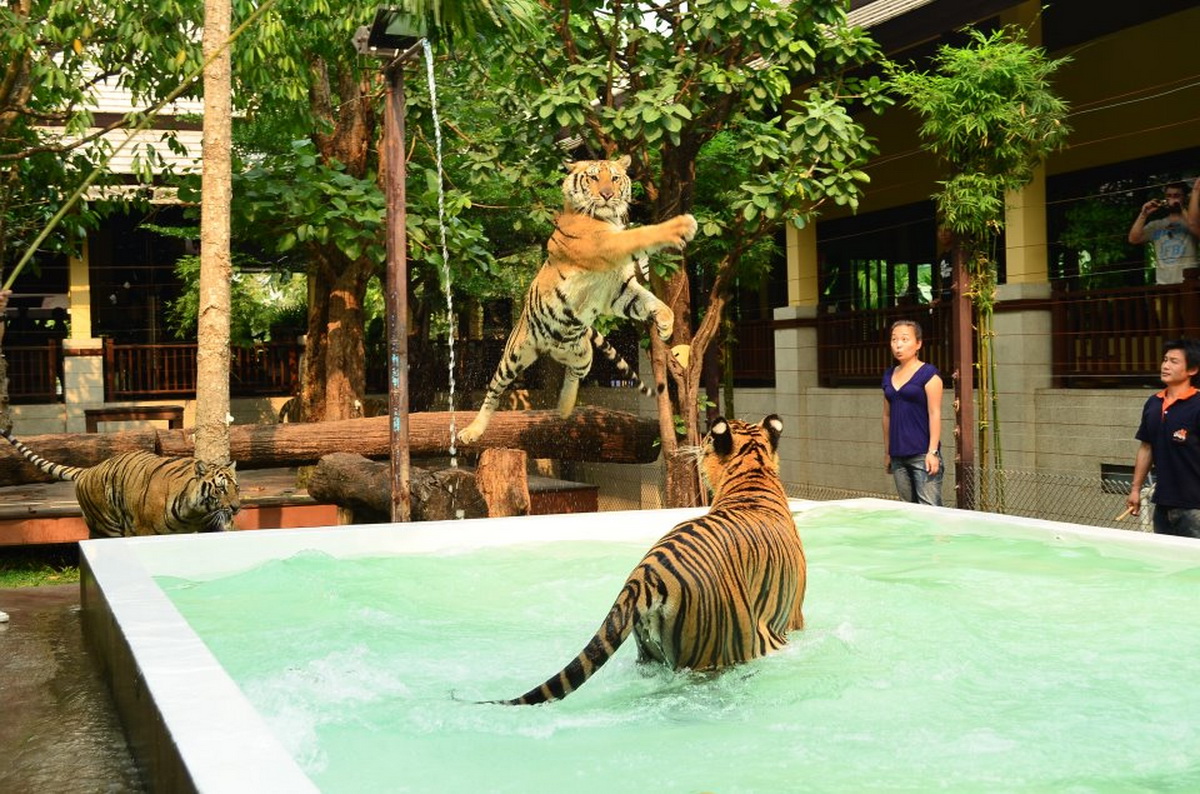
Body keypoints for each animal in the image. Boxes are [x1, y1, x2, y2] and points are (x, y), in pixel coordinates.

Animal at [0, 429, 241, 538]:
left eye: (236, 487)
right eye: (220, 489)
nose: (237, 508)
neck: (194, 513)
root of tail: (89, 470)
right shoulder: (146, 532)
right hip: (107, 526)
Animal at [457, 155, 698, 444]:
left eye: (615, 178)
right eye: (593, 177)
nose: (607, 195)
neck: (609, 217)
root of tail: (550, 348)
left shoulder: (618, 289)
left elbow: (650, 301)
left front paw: (665, 325)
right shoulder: (605, 245)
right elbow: (642, 234)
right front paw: (682, 225)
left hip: (583, 356)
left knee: (572, 375)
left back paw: (563, 409)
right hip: (513, 356)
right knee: (493, 391)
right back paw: (472, 431)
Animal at [485, 414, 806, 705]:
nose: (697, 445)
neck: (753, 472)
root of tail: (648, 575)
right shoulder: (795, 616)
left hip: (647, 655)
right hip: (718, 656)